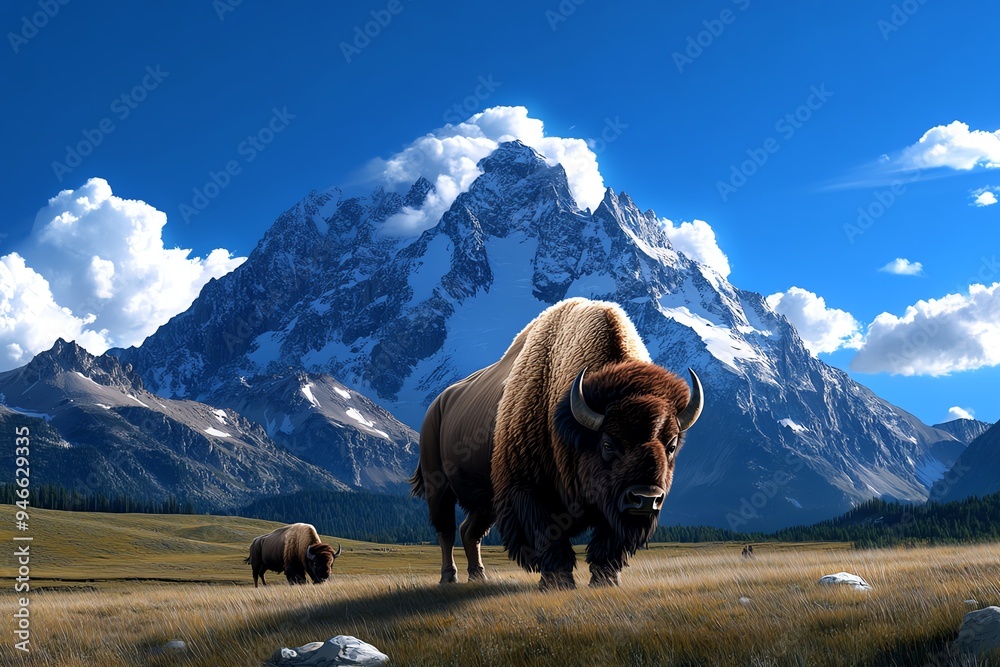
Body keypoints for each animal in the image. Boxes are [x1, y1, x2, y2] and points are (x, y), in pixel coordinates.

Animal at [410, 298, 703, 590]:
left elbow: (608, 542)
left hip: (485, 501)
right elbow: (548, 536)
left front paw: (606, 580)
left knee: (470, 531)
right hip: (439, 488)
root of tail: (437, 406)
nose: (645, 499)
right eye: (607, 443)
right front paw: (557, 581)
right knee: (446, 531)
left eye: (671, 445)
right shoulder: (527, 491)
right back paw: (449, 578)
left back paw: (478, 576)